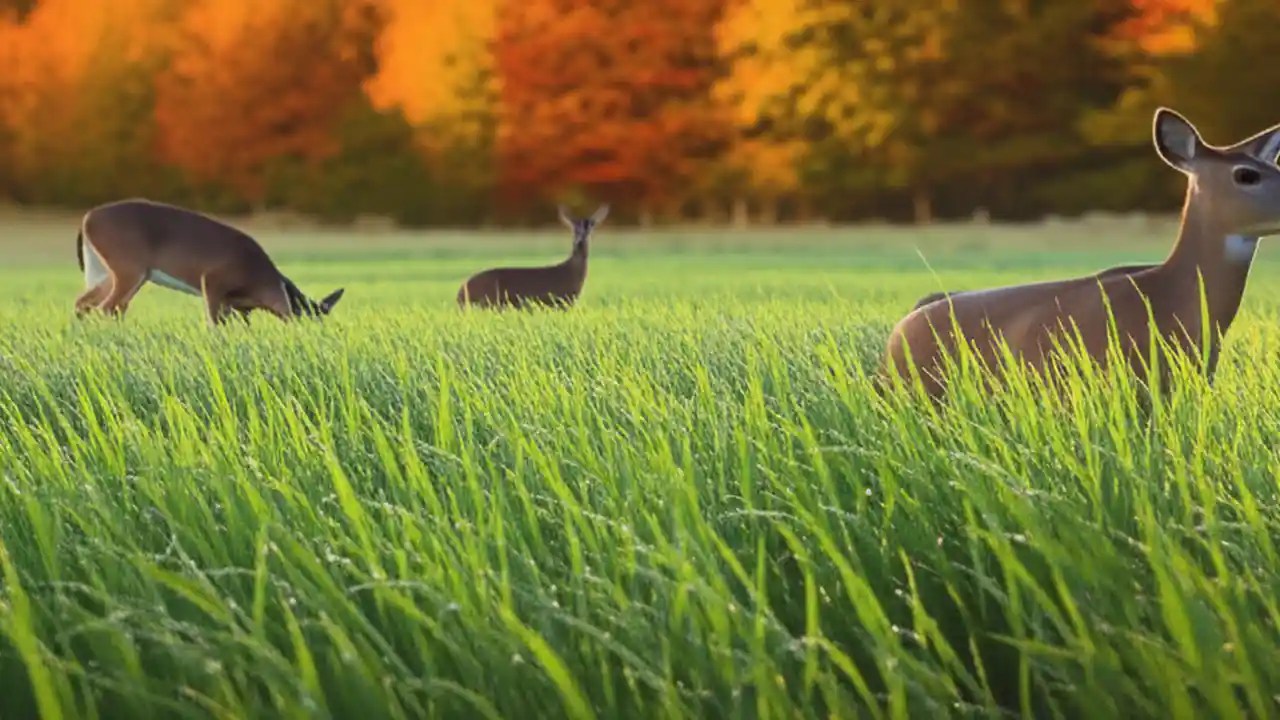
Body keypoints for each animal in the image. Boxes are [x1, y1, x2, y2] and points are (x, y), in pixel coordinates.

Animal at [74, 199, 344, 325]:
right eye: (305, 318)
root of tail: (87, 220)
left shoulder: (234, 305)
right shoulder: (213, 280)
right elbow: (213, 322)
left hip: (110, 271)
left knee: (86, 302)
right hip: (129, 267)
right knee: (107, 307)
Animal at [457, 204, 608, 309]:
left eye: (591, 227)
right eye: (574, 229)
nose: (579, 242)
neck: (572, 271)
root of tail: (460, 293)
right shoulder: (561, 300)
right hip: (490, 301)